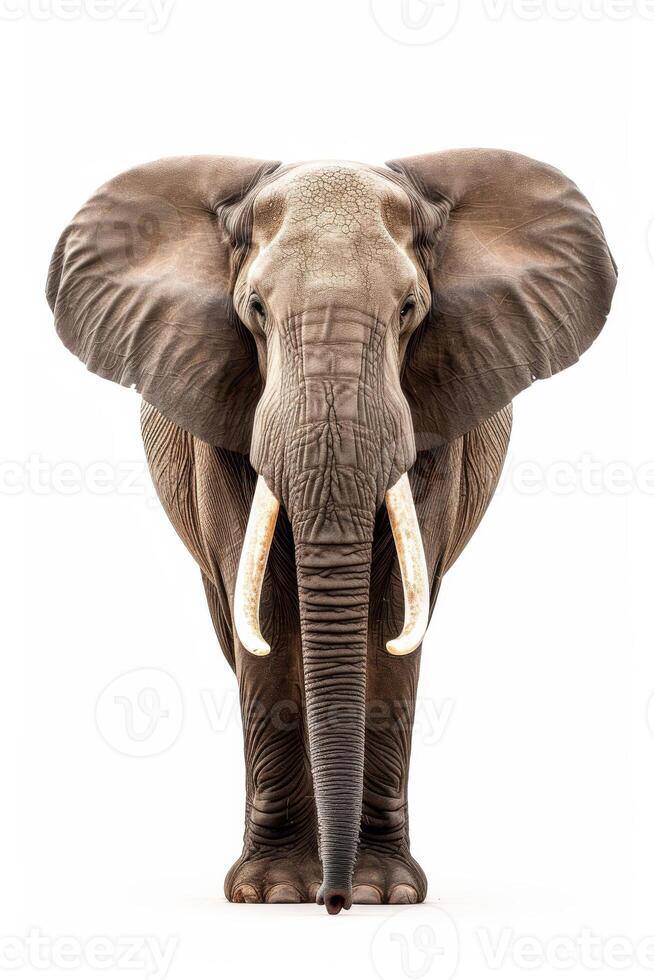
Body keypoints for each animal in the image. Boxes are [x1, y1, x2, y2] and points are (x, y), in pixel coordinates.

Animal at [46, 150, 617, 914]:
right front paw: (272, 893)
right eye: (255, 309)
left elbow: (391, 616)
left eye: (410, 309)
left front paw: (383, 893)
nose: (336, 904)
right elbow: (269, 620)